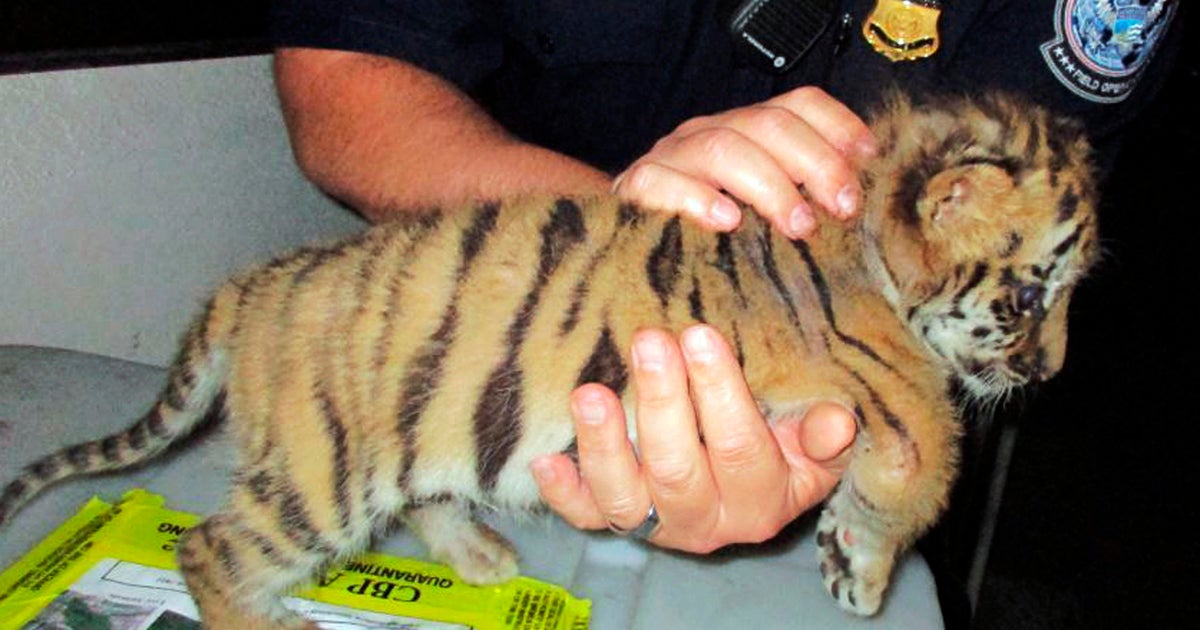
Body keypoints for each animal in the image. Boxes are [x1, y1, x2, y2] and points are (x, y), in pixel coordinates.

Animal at [0, 91, 1097, 625]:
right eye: (1029, 298)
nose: (1051, 376)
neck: (866, 242)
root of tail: (257, 283)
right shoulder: (903, 401)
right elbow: (919, 481)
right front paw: (864, 580)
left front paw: (837, 562)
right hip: (320, 471)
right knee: (210, 550)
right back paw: (275, 624)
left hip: (408, 433)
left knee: (418, 497)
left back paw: (484, 557)